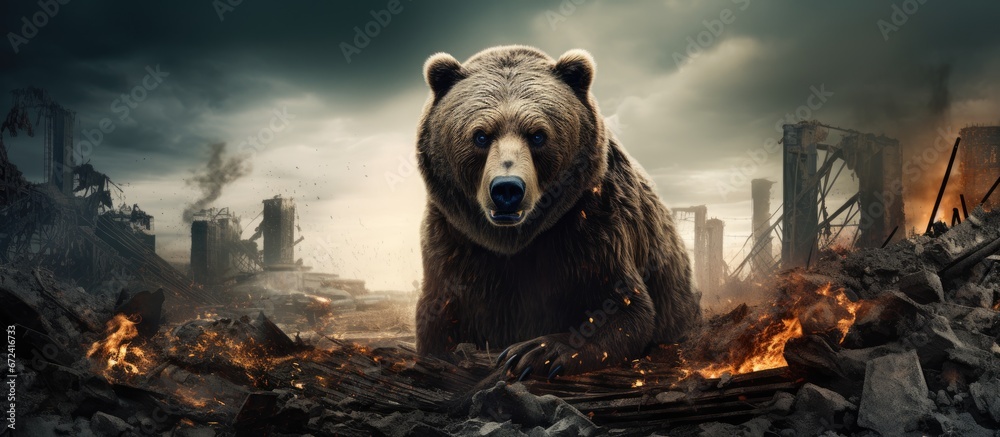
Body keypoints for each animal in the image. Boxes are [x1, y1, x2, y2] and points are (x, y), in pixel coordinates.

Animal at [414, 45, 700, 379]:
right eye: (481, 136)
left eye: (538, 135)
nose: (507, 190)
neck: (513, 241)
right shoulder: (452, 243)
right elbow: (438, 321)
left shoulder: (592, 230)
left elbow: (625, 309)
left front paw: (536, 351)